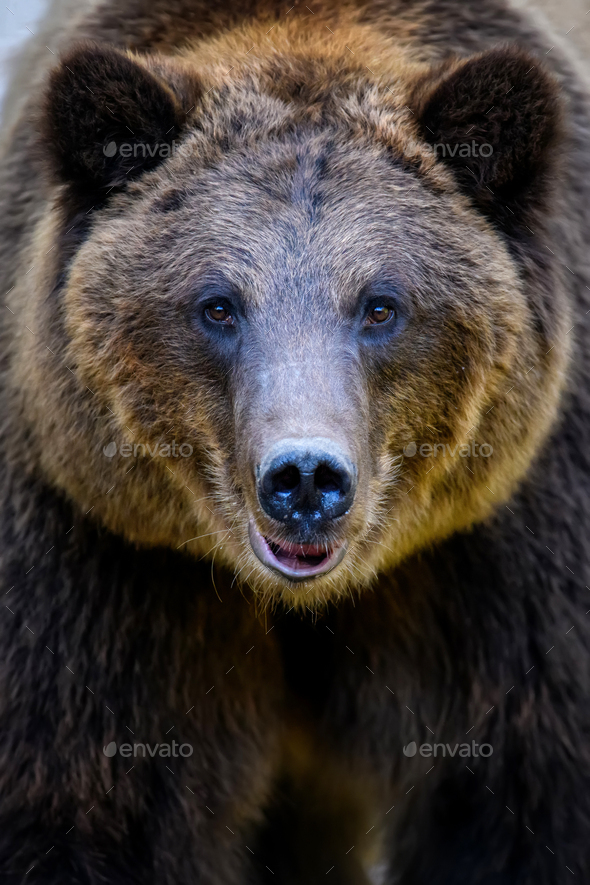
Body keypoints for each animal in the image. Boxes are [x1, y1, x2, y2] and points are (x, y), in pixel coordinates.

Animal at [1, 0, 590, 882]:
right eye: (217, 304)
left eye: (382, 305)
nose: (305, 476)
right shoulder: (102, 553)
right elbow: (85, 797)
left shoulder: (510, 553)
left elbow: (525, 803)